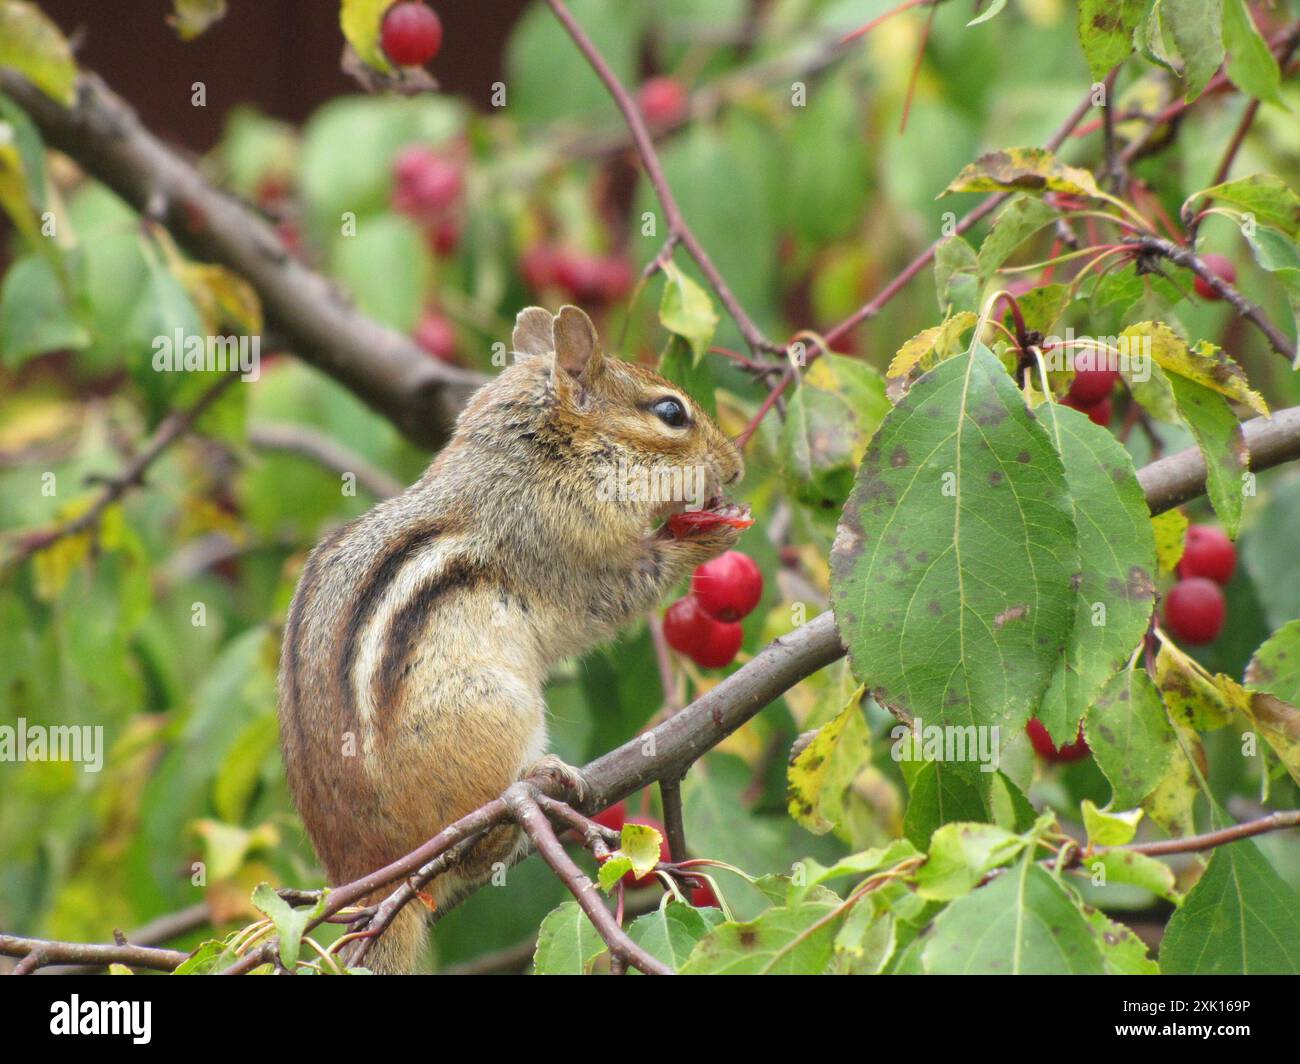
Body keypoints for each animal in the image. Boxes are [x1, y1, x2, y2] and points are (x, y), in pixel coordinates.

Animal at [278, 305, 744, 973]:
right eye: (672, 412)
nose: (736, 467)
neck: (543, 457)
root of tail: (365, 873)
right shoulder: (564, 549)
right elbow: (621, 591)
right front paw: (705, 537)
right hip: (497, 709)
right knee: (471, 853)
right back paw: (541, 782)